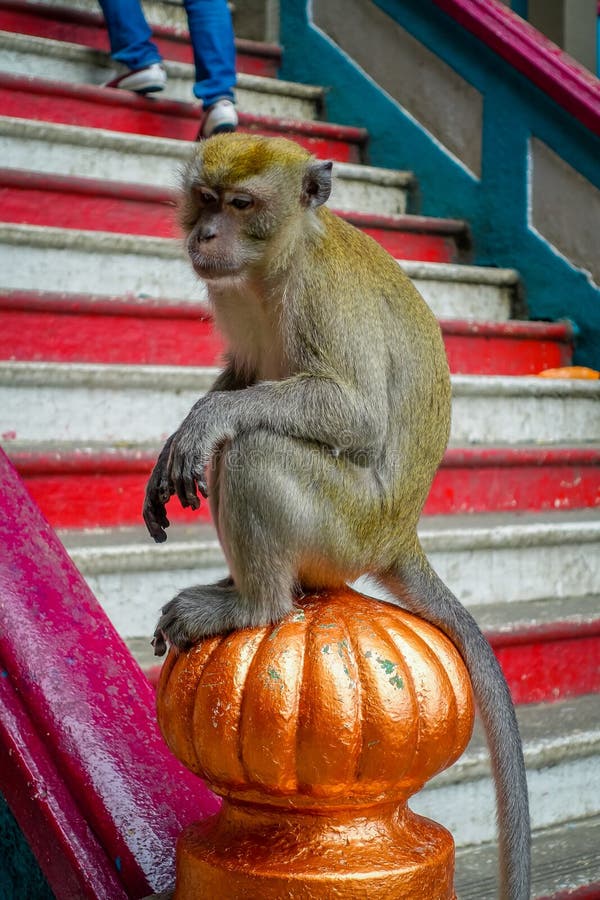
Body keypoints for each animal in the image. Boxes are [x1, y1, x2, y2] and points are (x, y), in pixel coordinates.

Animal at [143, 133, 530, 900]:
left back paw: (255, 604)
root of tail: (399, 533)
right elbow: (242, 374)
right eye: (205, 199)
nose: (205, 235)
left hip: (346, 527)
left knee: (256, 449)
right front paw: (182, 430)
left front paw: (204, 420)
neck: (274, 266)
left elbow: (351, 412)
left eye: (241, 205)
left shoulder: (321, 296)